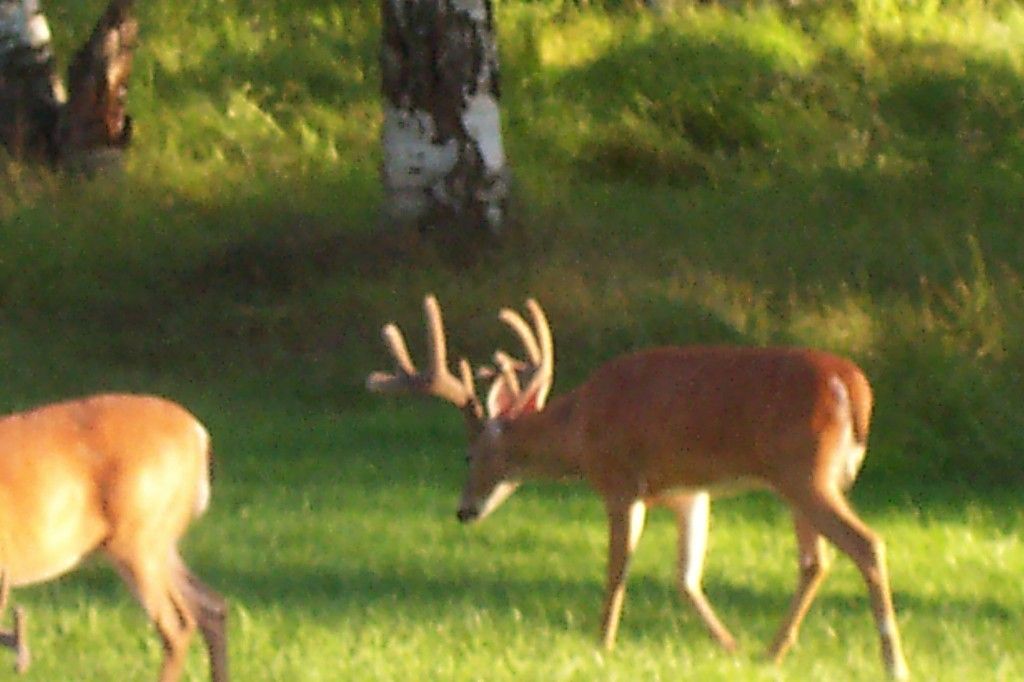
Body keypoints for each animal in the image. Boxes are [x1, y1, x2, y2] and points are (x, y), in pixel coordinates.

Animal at [367, 295, 910, 680]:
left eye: (469, 455)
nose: (464, 511)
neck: (579, 427)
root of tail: (854, 387)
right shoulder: (688, 494)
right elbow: (686, 576)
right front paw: (728, 646)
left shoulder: (619, 481)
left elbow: (616, 569)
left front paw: (601, 645)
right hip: (805, 480)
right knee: (816, 560)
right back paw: (769, 652)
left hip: (804, 471)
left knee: (866, 544)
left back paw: (893, 664)